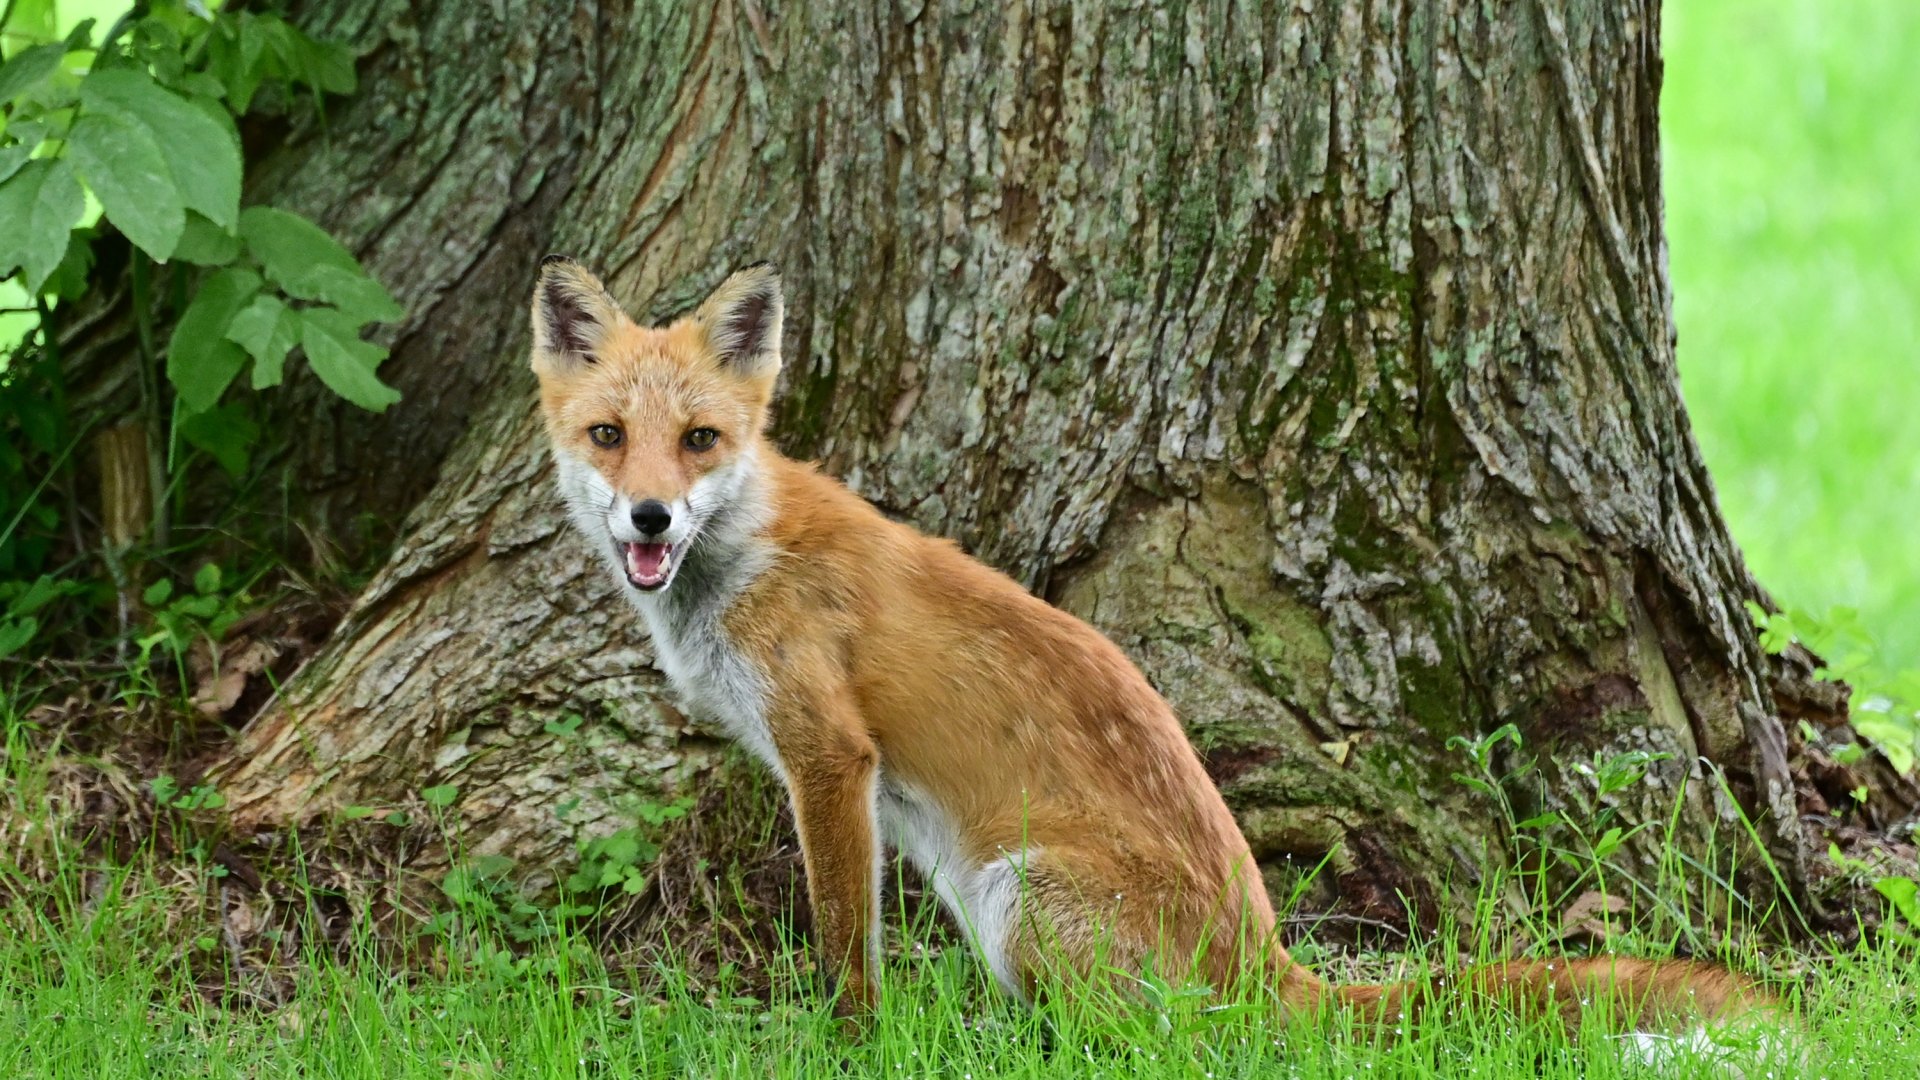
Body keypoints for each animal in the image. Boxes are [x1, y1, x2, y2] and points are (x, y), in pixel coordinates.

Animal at [528, 256, 1790, 1053]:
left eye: (700, 440)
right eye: (610, 436)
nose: (649, 517)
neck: (742, 557)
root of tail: (1268, 960)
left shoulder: (831, 759)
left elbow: (848, 953)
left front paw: (847, 1048)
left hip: (1017, 890)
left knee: (1161, 1047)